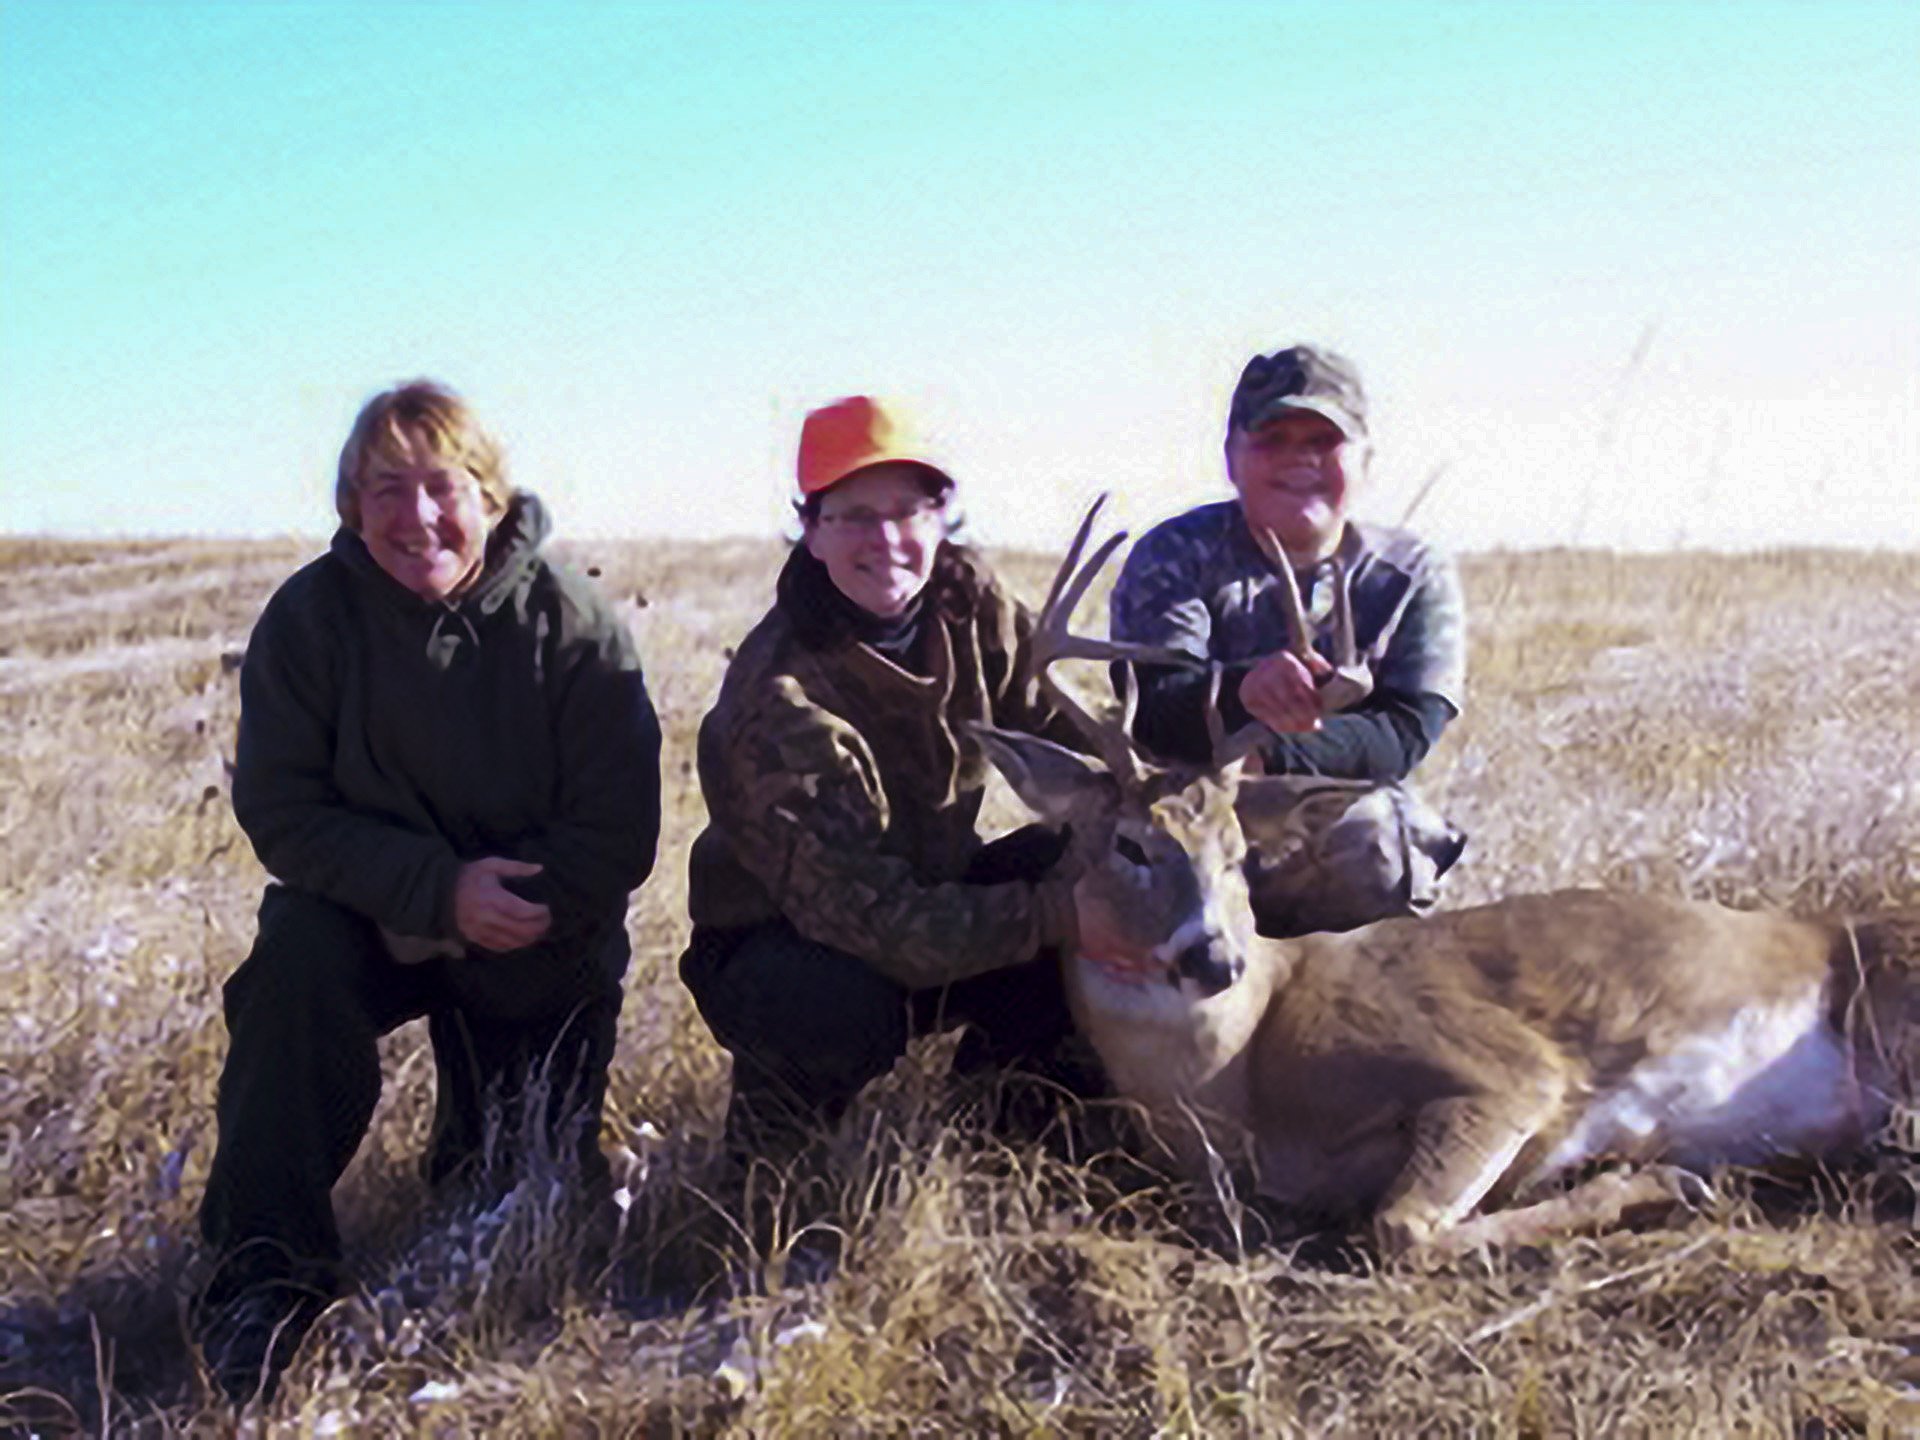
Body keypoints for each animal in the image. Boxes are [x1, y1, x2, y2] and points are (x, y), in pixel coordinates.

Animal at [971, 498, 1920, 1254]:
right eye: (1130, 845)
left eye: (1240, 854)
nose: (1215, 958)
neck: (1244, 1081)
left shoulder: (1507, 1068)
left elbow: (1402, 1226)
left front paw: (1656, 1181)